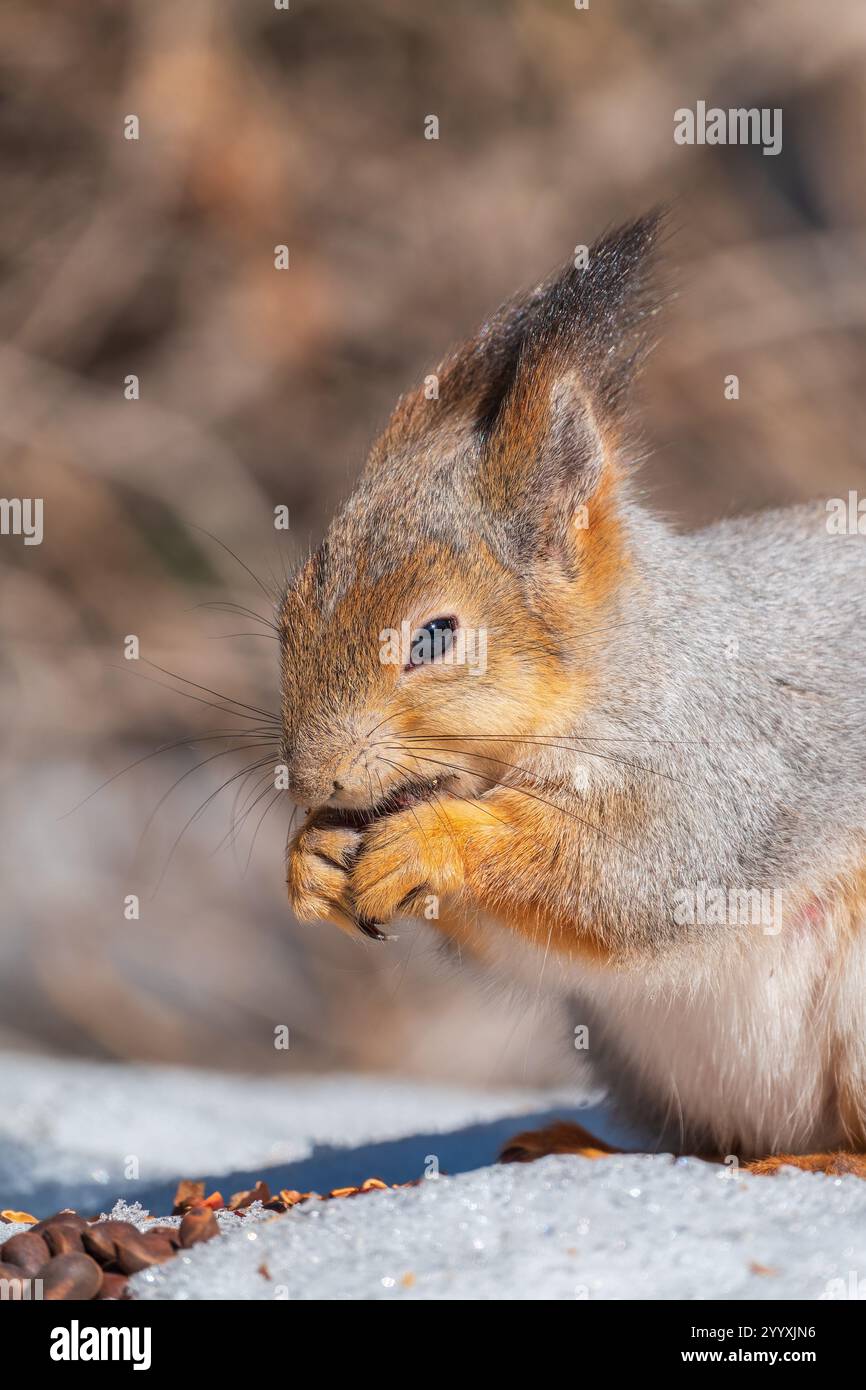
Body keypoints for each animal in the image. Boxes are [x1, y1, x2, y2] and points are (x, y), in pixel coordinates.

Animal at [280, 212, 866, 1178]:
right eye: (286, 615)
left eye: (435, 637)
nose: (311, 779)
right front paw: (309, 859)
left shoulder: (723, 768)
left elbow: (631, 874)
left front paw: (436, 841)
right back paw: (578, 1145)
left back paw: (813, 1162)